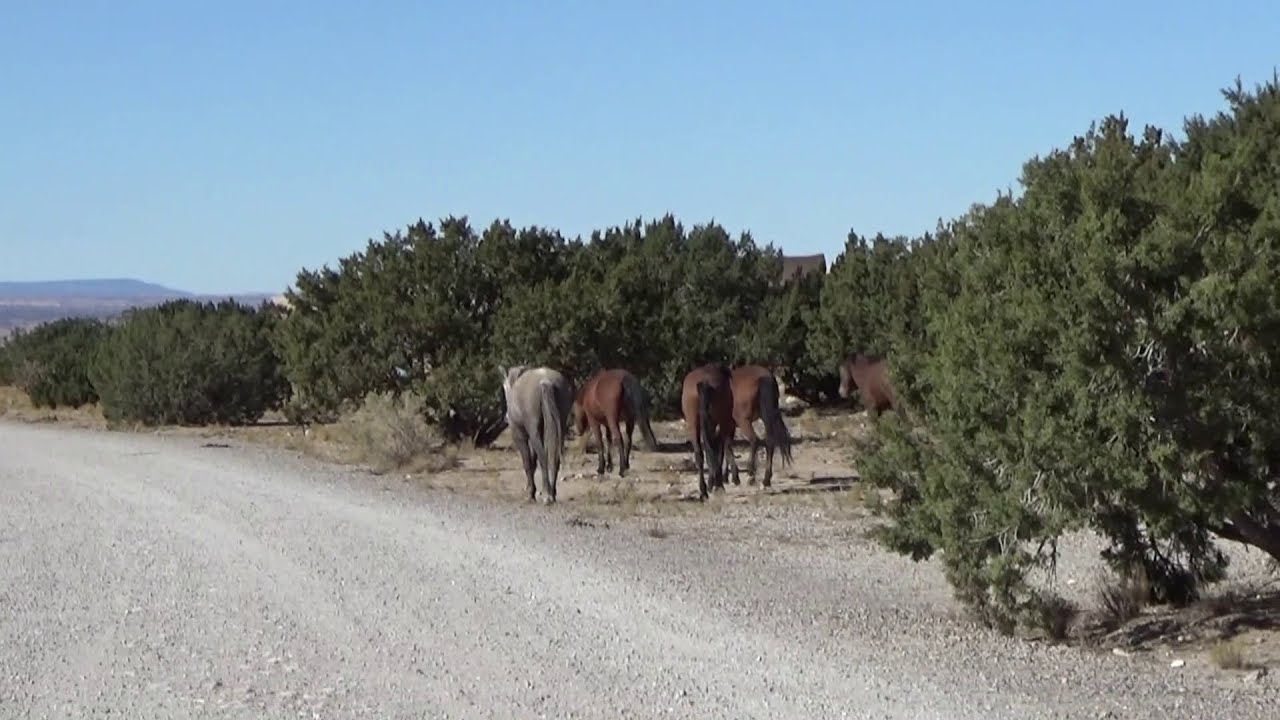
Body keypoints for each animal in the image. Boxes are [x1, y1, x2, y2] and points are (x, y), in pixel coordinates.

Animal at [500, 365, 575, 504]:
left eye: (504, 387)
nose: (506, 417)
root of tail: (545, 381)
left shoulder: (520, 435)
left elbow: (527, 462)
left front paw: (530, 493)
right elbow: (533, 461)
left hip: (533, 431)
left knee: (543, 457)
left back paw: (547, 495)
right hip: (560, 426)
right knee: (554, 458)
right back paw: (552, 493)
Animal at [680, 363, 736, 500]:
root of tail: (705, 382)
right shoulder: (722, 424)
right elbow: (718, 451)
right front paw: (716, 483)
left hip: (693, 423)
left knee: (699, 454)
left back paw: (703, 491)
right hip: (719, 421)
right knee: (715, 448)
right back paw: (717, 486)